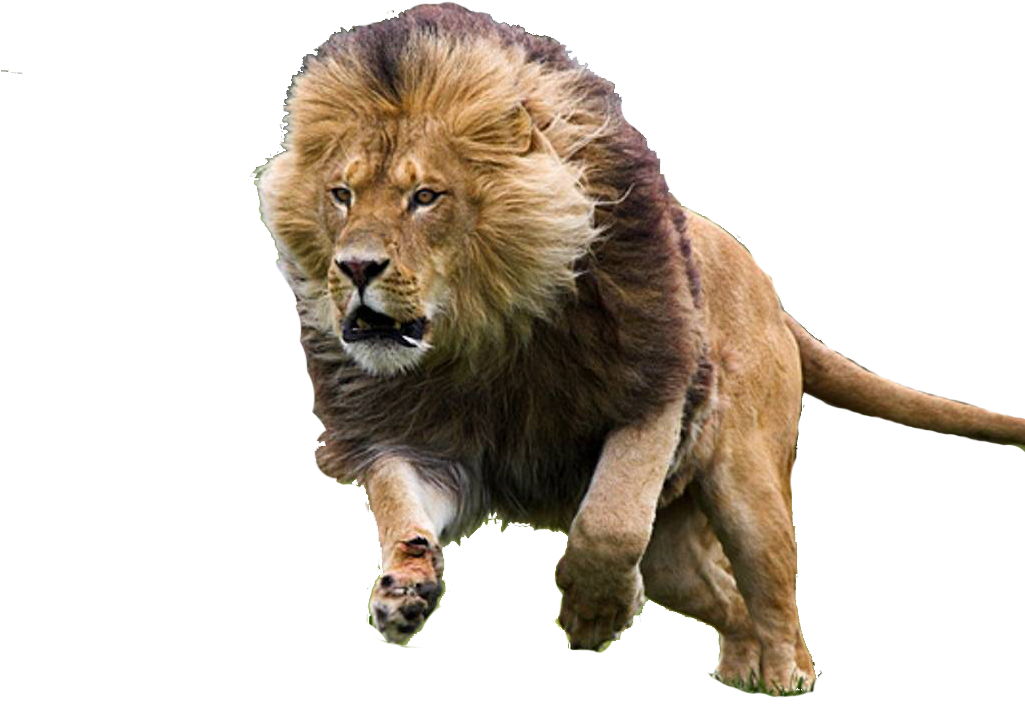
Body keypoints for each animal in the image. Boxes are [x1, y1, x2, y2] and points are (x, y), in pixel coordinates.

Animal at [256, 3, 1025, 694]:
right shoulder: (425, 441)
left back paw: (785, 675)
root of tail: (764, 281)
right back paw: (740, 666)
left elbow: (611, 520)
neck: (480, 340)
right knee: (724, 596)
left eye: (425, 196)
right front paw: (404, 589)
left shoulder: (655, 390)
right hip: (677, 552)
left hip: (749, 487)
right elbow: (398, 503)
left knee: (771, 591)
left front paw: (597, 612)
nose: (355, 267)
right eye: (341, 194)